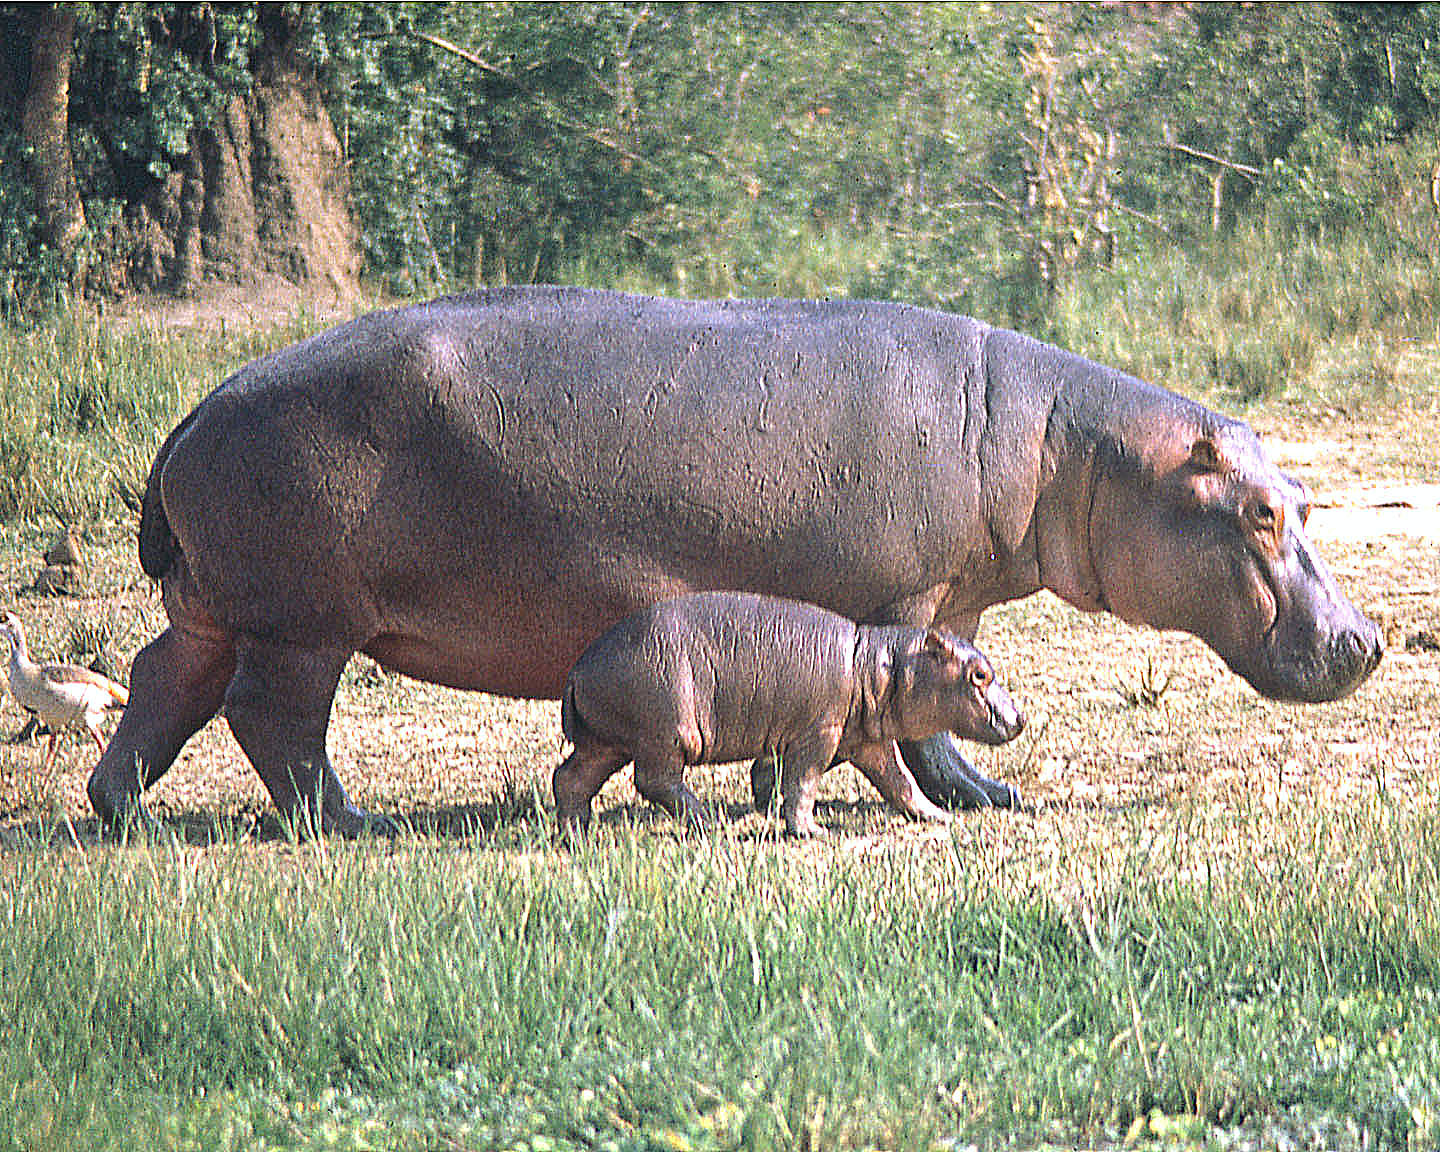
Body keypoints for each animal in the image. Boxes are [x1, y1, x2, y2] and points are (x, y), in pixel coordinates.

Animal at [556, 592, 1024, 836]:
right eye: (979, 674)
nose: (1019, 719)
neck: (881, 665)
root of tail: (578, 670)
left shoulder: (868, 741)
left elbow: (900, 781)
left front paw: (939, 816)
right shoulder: (819, 734)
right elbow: (804, 781)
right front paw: (811, 832)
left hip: (608, 741)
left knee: (572, 776)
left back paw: (577, 828)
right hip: (666, 734)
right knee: (655, 780)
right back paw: (708, 820)